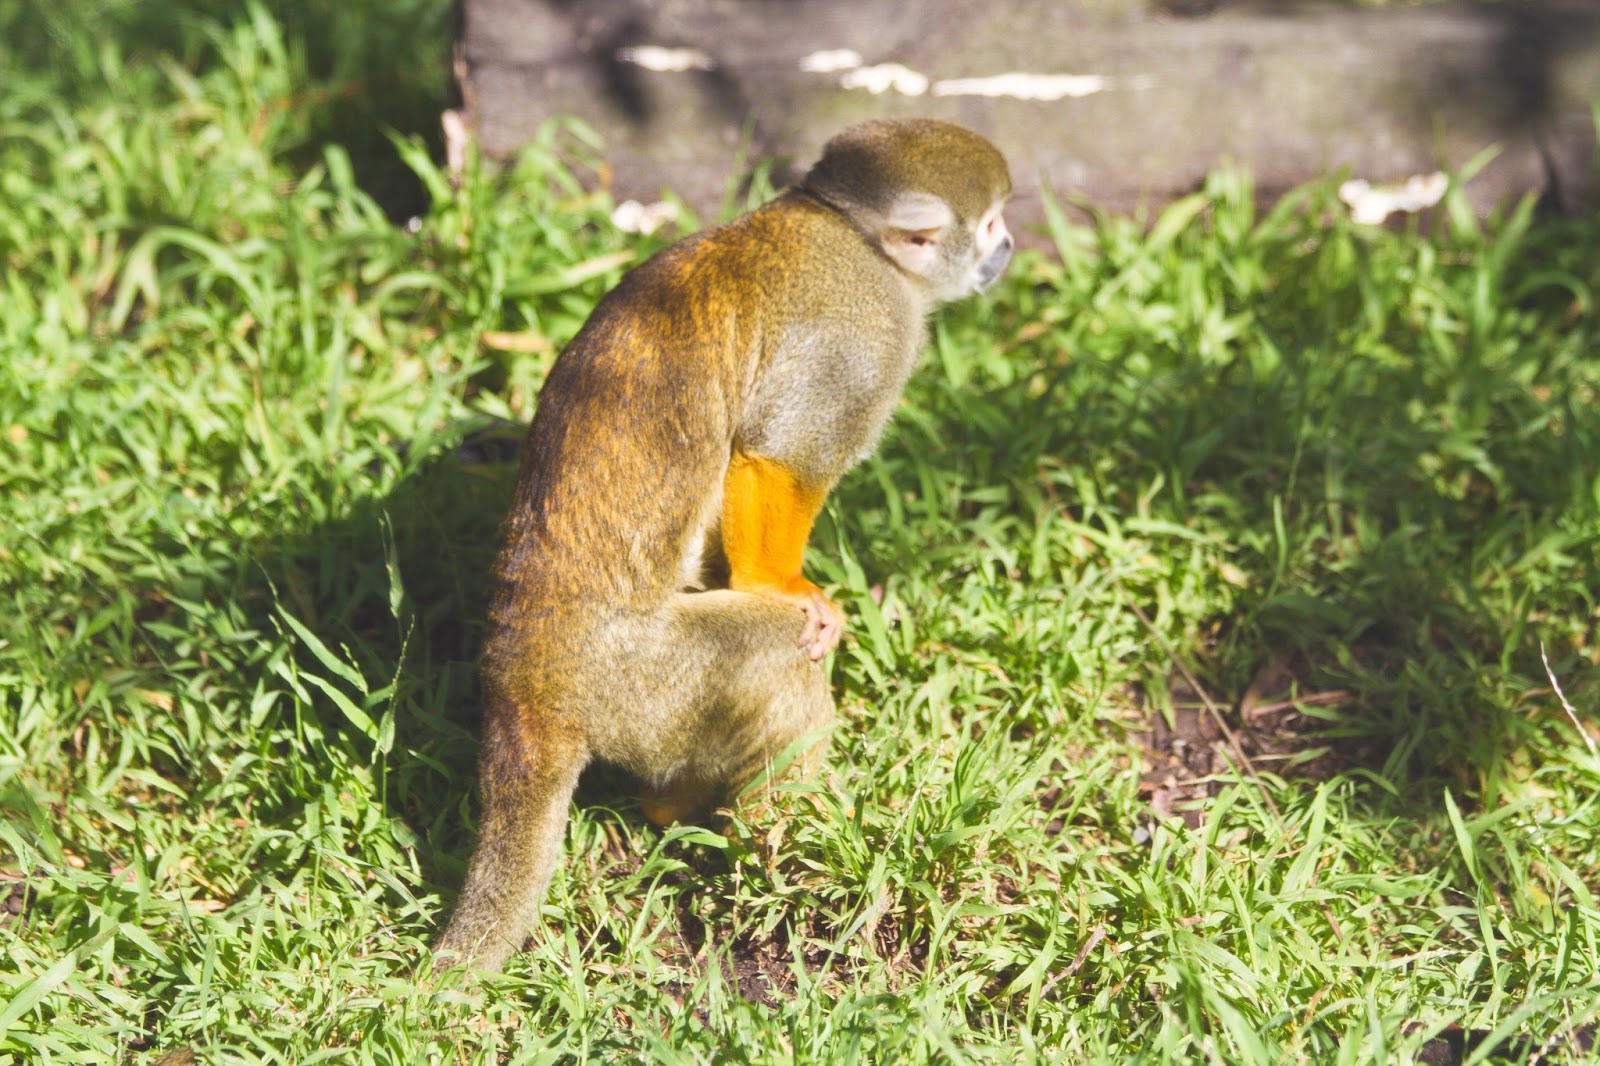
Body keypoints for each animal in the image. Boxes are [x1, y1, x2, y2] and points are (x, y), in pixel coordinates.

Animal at [433, 118, 1013, 971]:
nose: (1009, 248)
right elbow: (777, 455)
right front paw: (787, 586)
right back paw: (778, 844)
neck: (846, 228)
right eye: (992, 223)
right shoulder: (868, 328)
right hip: (642, 683)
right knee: (773, 660)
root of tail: (522, 688)